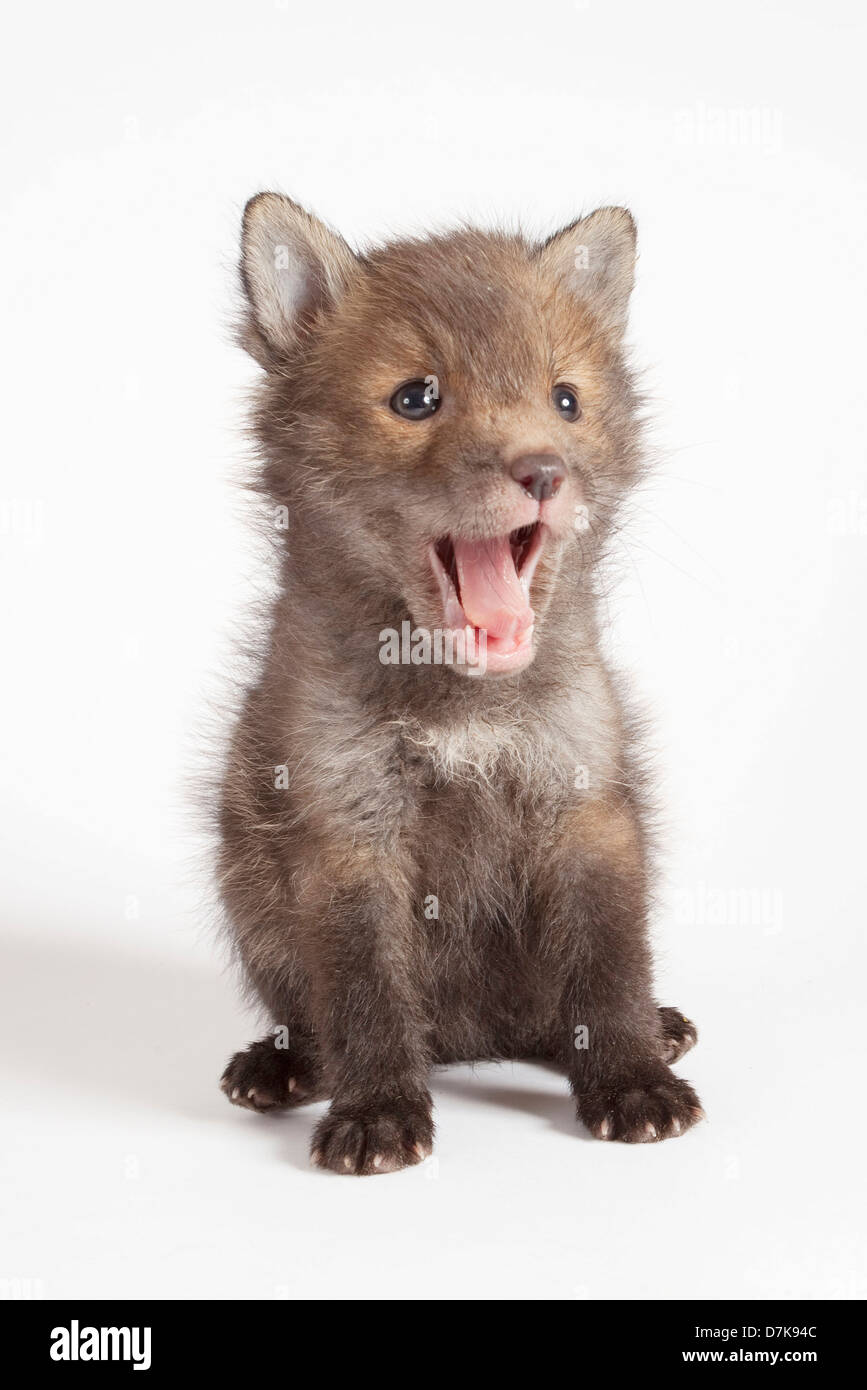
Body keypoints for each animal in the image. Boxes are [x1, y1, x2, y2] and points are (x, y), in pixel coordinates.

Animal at [216, 193, 703, 1174]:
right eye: (416, 397)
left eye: (564, 399)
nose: (543, 471)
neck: (464, 708)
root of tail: (472, 1041)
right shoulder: (347, 826)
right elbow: (365, 995)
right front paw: (377, 1111)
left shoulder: (584, 806)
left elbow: (609, 969)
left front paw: (632, 1079)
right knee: (309, 1017)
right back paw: (282, 1064)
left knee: (559, 1015)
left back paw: (652, 1028)